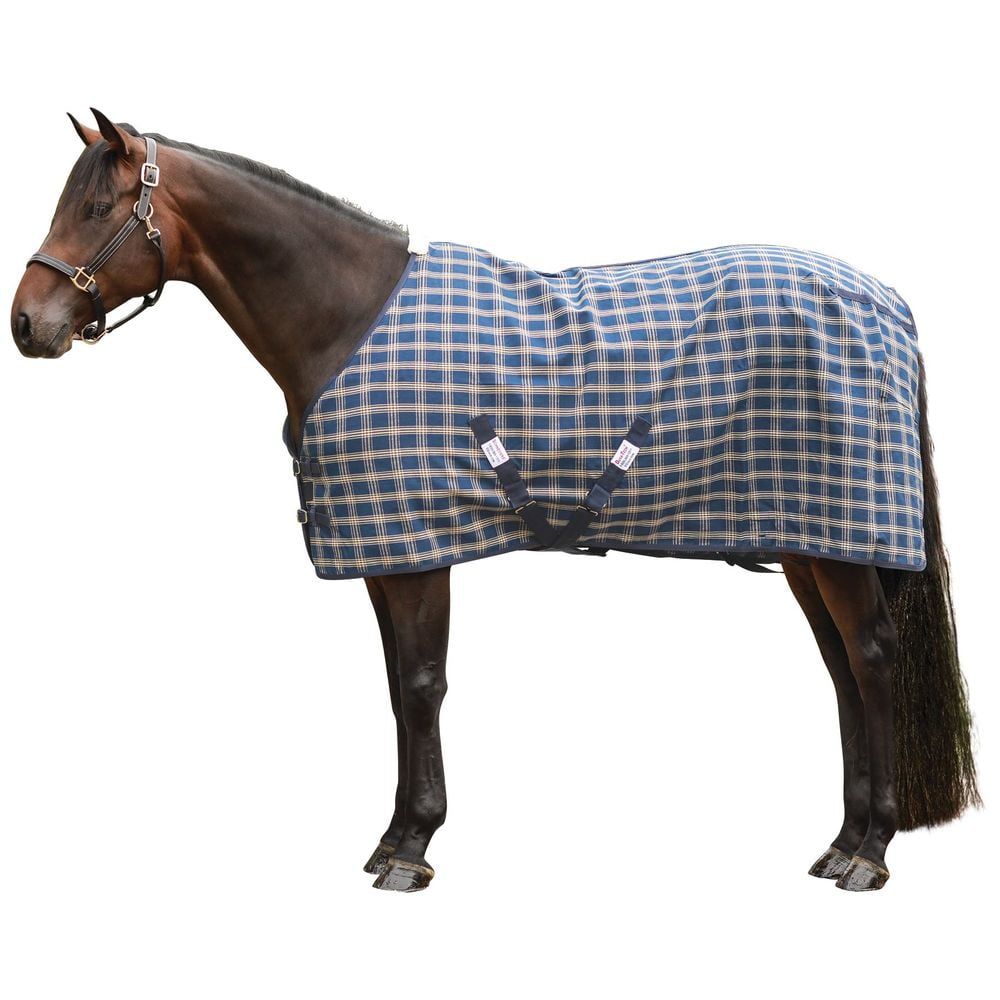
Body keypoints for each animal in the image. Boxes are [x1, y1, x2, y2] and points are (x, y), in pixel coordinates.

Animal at [10, 110, 980, 893]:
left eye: (96, 208)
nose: (27, 324)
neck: (347, 319)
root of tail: (887, 305)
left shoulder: (417, 549)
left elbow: (420, 685)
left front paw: (410, 848)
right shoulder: (385, 551)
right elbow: (397, 688)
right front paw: (397, 835)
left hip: (844, 542)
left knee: (873, 660)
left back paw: (869, 853)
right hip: (812, 544)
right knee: (842, 669)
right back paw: (842, 840)